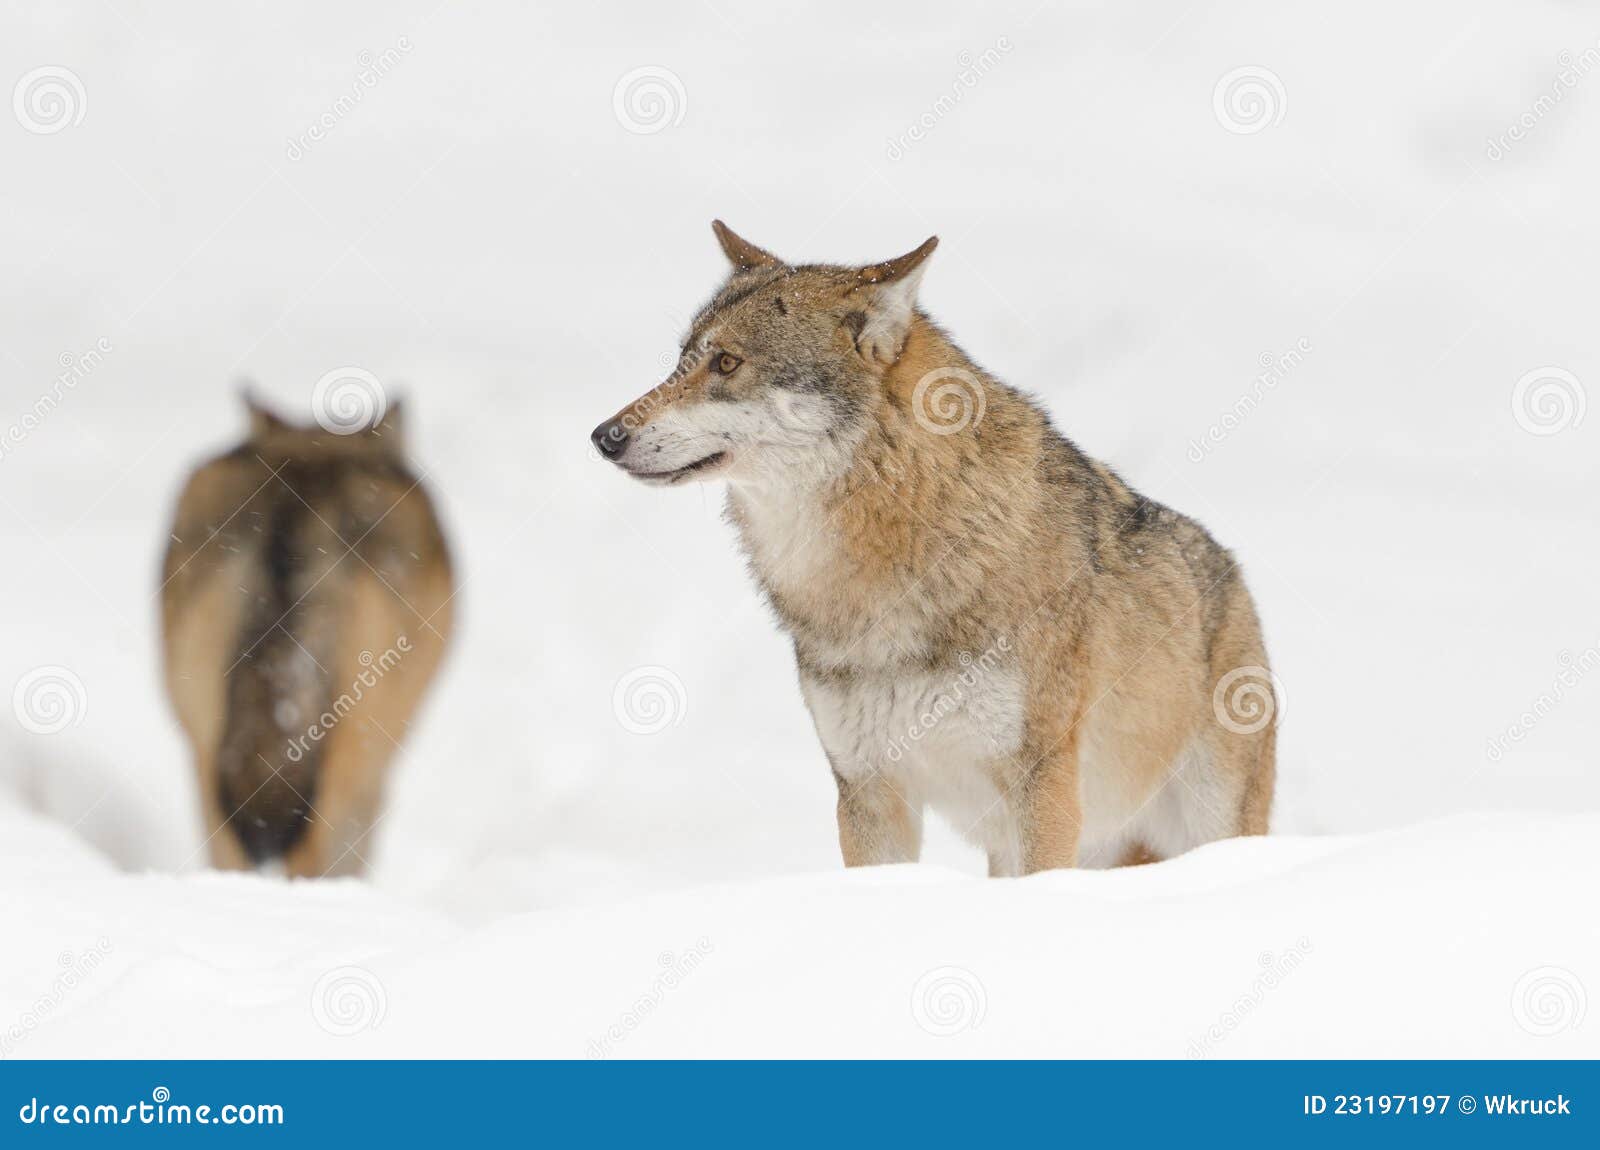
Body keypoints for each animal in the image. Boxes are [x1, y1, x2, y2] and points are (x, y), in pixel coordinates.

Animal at [591, 222, 1276, 874]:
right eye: (681, 361)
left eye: (728, 363)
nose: (604, 435)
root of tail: (1233, 573)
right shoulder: (867, 790)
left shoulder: (1042, 788)